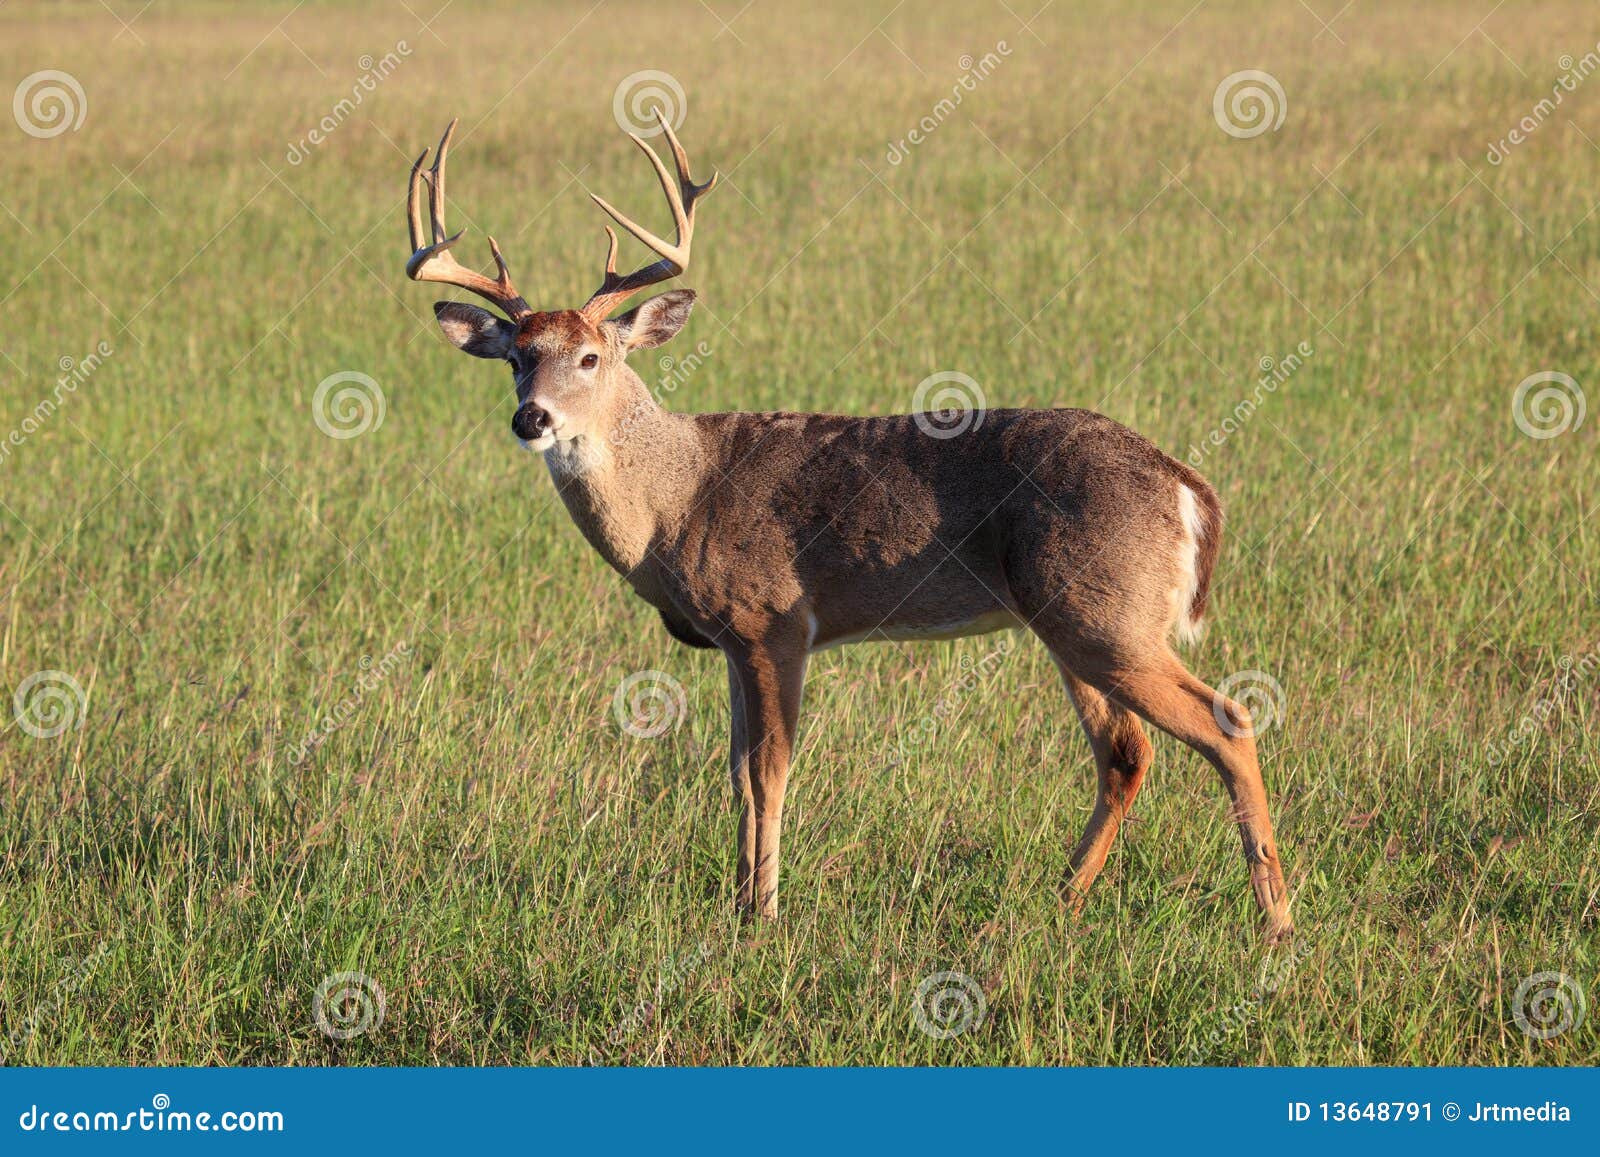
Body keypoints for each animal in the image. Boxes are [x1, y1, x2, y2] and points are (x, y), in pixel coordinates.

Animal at [403, 112, 1293, 943]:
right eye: (517, 356)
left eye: (591, 357)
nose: (533, 418)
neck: (676, 499)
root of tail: (1186, 486)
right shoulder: (733, 641)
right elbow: (735, 770)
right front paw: (739, 899)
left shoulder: (773, 621)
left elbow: (768, 770)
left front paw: (763, 912)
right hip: (1079, 621)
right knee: (1126, 752)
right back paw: (1060, 897)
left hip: (1106, 614)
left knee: (1228, 719)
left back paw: (1275, 918)